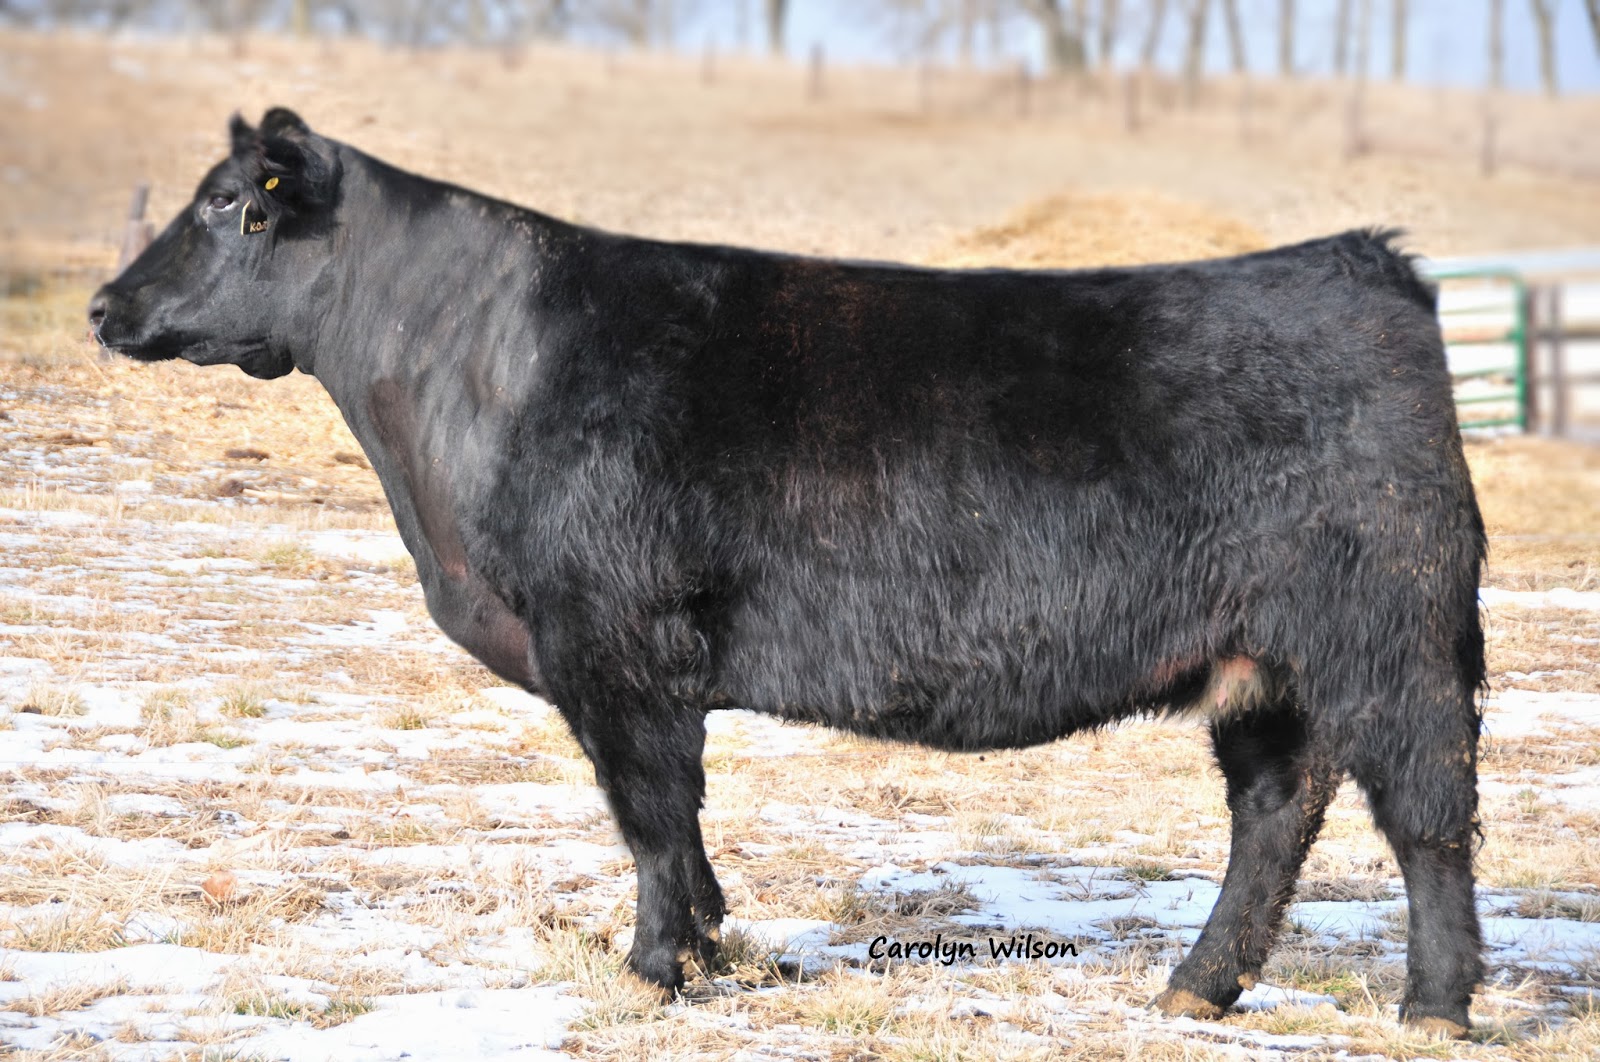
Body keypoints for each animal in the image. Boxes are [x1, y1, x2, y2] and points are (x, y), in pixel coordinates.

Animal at [88, 109, 1488, 1038]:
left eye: (239, 208)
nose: (104, 308)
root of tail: (1360, 262)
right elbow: (679, 823)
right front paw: (716, 952)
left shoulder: (616, 641)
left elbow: (649, 813)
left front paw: (653, 969)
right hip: (1270, 663)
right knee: (1277, 809)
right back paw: (1196, 988)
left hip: (1390, 637)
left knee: (1425, 817)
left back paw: (1432, 1005)